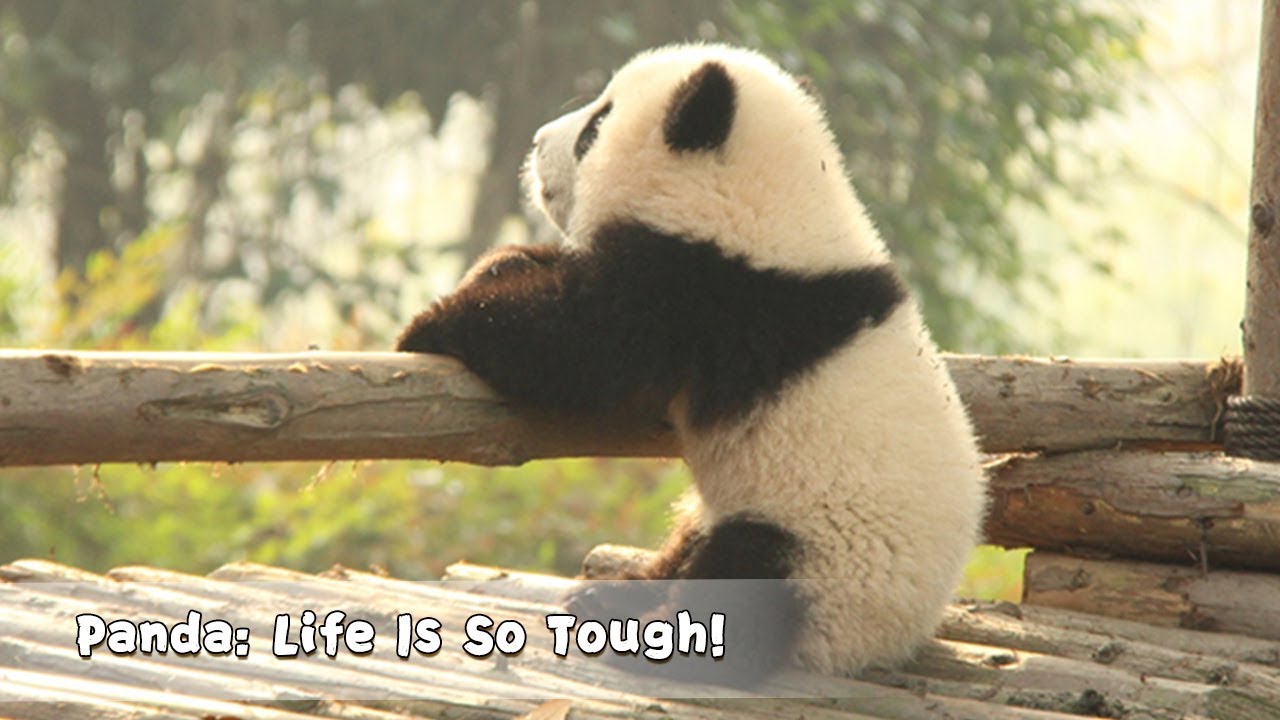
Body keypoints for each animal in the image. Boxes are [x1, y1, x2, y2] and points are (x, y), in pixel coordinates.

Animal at [398, 44, 987, 687]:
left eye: (596, 126)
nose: (536, 142)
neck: (767, 203)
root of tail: (892, 643)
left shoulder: (713, 295)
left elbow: (583, 349)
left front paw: (431, 323)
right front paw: (501, 264)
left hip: (820, 548)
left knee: (743, 579)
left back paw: (654, 636)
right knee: (686, 547)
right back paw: (614, 594)